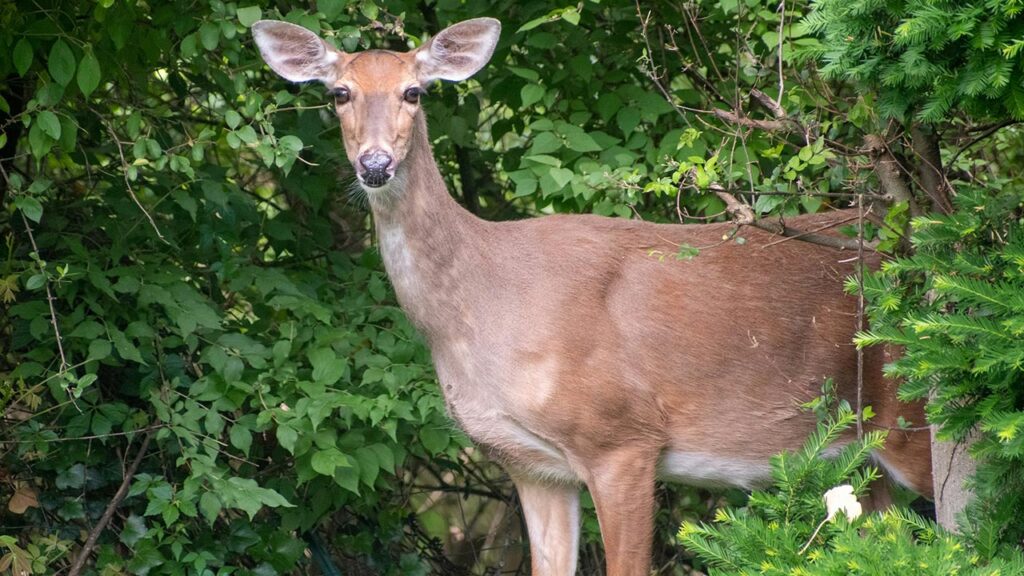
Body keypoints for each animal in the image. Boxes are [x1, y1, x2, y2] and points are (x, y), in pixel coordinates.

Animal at [251, 17, 933, 576]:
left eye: (413, 92)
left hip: (914, 417)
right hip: (860, 458)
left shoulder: (622, 438)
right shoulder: (531, 466)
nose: (374, 164)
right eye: (339, 92)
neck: (481, 306)